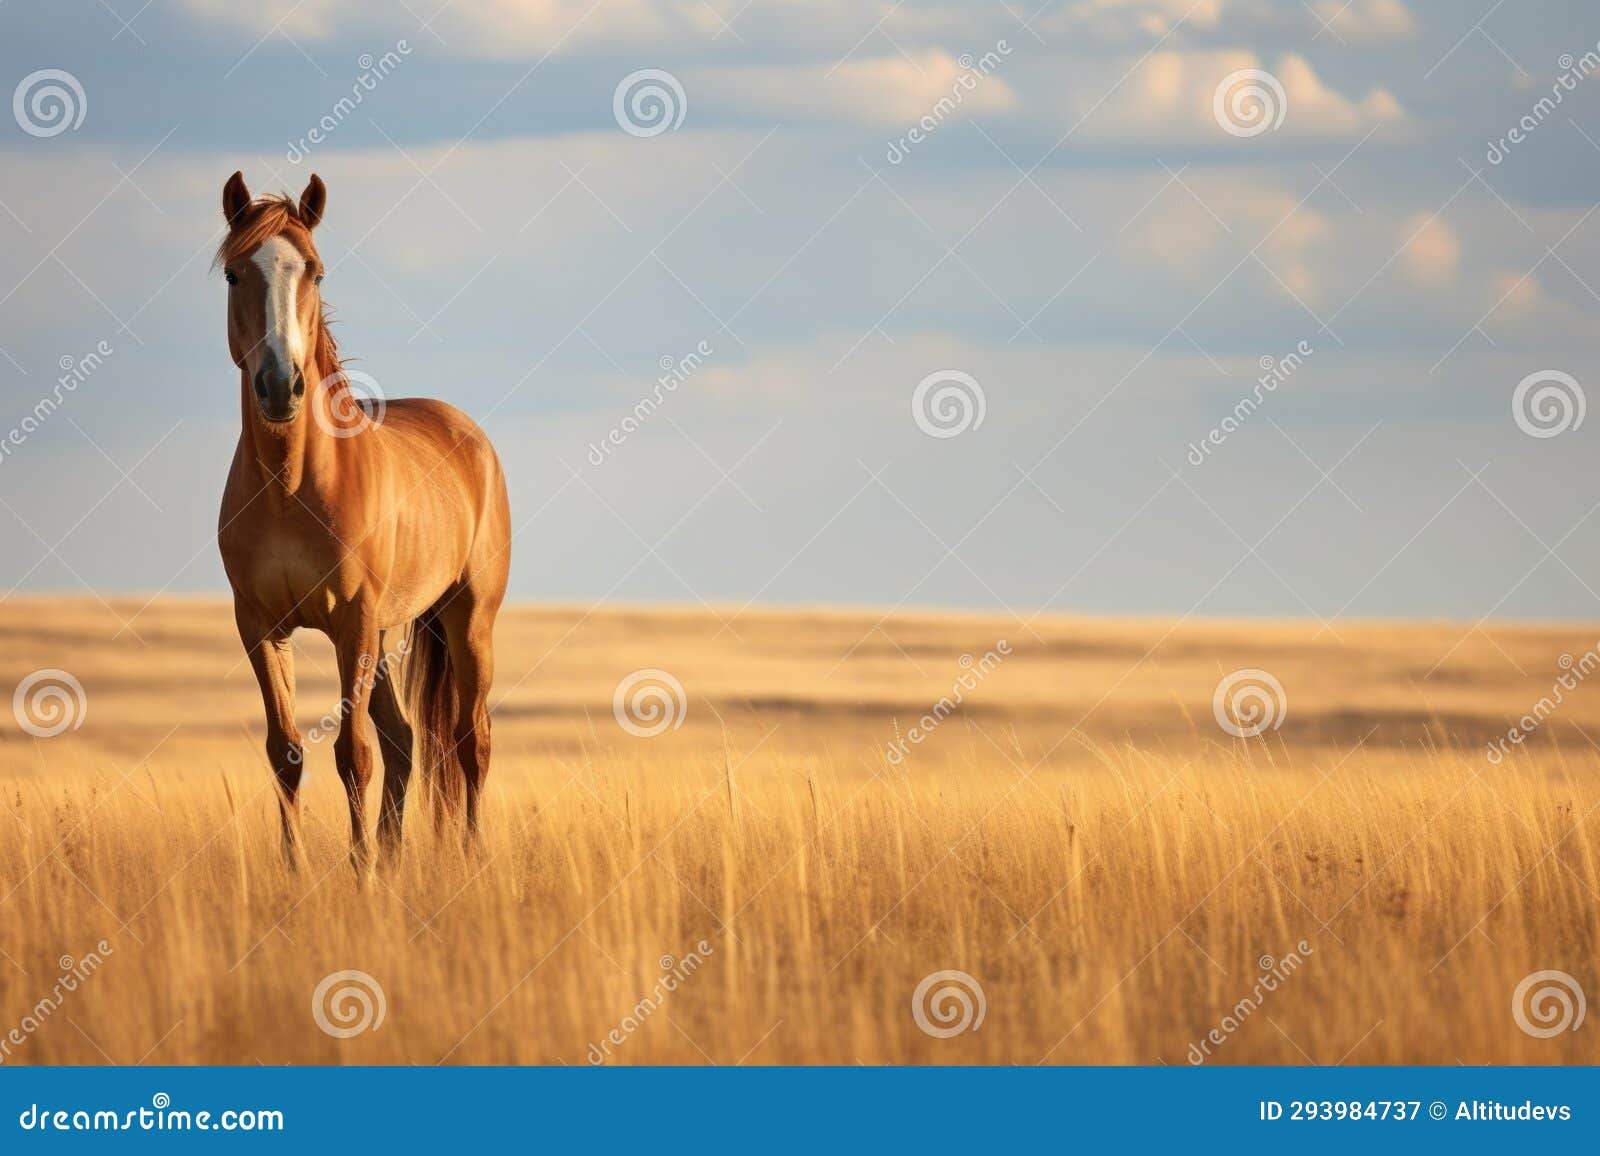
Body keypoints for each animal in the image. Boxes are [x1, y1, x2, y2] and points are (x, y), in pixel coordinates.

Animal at [215, 171, 511, 868]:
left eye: (316, 272)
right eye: (235, 274)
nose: (280, 386)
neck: (289, 485)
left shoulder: (351, 620)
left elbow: (353, 753)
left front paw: (363, 873)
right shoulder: (260, 625)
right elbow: (286, 751)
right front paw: (300, 869)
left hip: (466, 620)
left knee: (470, 740)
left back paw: (469, 854)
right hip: (384, 634)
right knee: (405, 738)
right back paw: (395, 853)